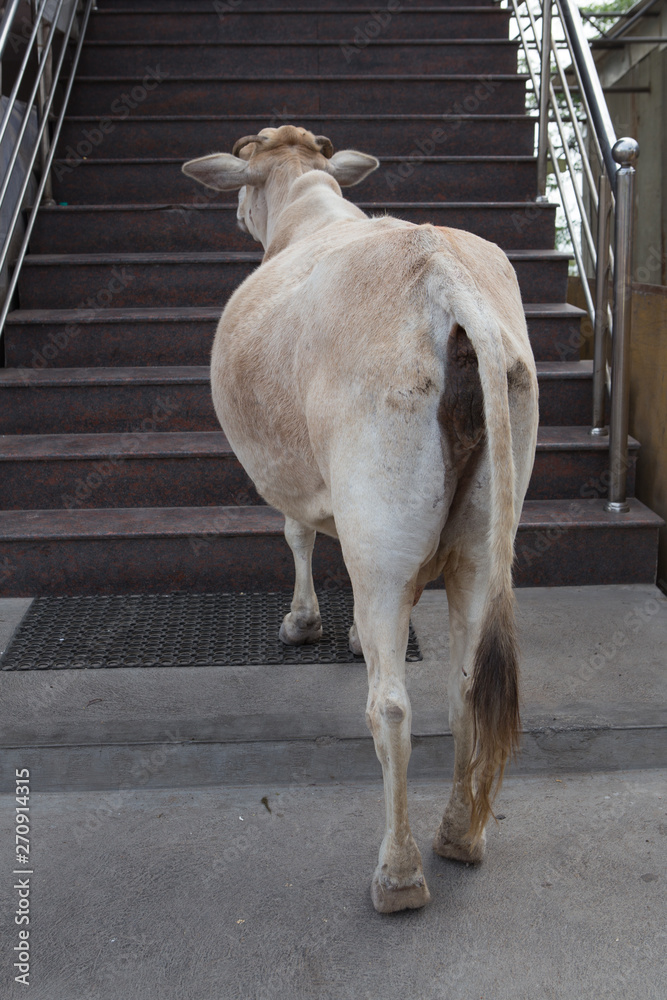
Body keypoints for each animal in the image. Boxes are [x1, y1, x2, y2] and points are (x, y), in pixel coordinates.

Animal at [183, 126, 539, 914]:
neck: (306, 209)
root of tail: (442, 275)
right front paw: (345, 634)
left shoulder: (298, 483)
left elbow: (298, 535)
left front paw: (306, 624)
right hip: (483, 545)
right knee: (466, 687)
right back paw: (460, 835)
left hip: (384, 537)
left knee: (393, 709)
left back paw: (399, 873)